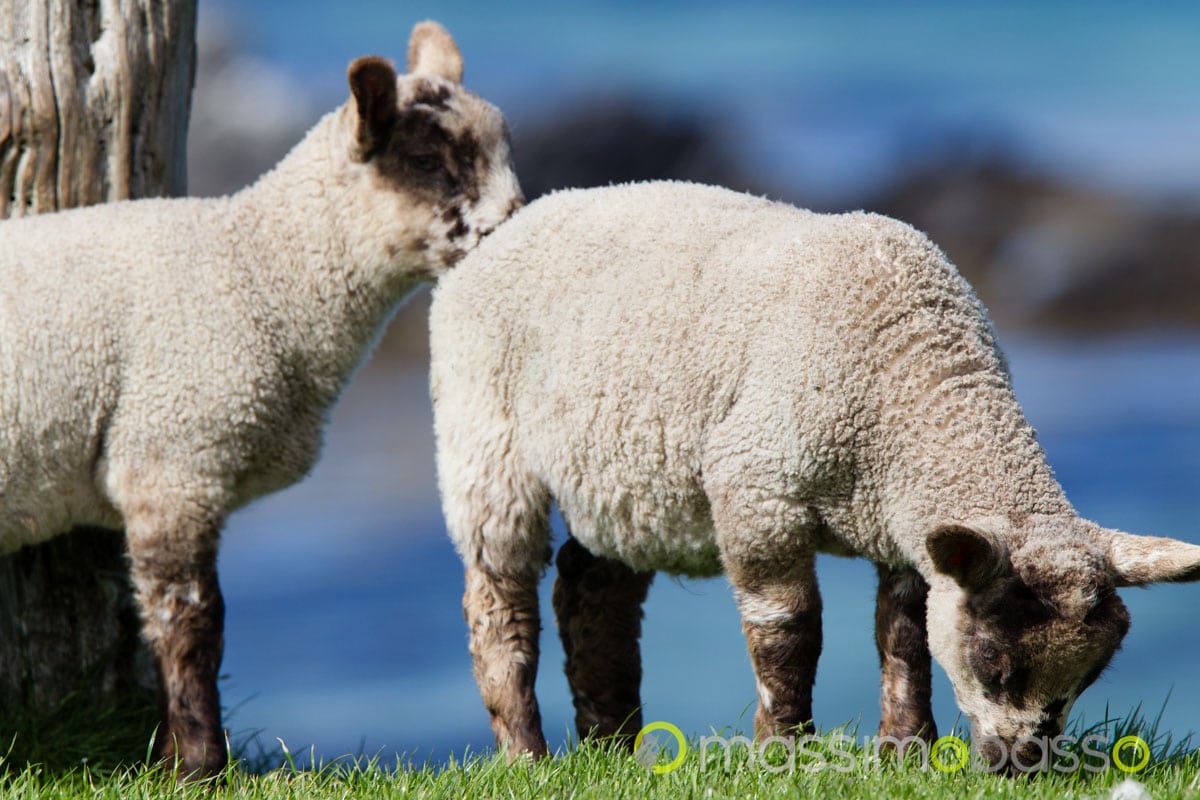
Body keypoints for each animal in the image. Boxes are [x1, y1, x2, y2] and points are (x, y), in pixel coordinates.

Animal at [0, 21, 521, 779]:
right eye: (428, 159)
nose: (516, 224)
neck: (263, 268)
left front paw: (173, 761)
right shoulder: (173, 458)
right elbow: (192, 626)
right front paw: (199, 767)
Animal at [429, 180, 1200, 768]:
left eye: (1092, 674)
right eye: (990, 659)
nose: (1022, 766)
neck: (917, 385)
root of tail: (505, 228)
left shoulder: (901, 517)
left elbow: (904, 632)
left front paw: (906, 750)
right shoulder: (757, 487)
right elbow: (788, 633)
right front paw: (783, 750)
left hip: (626, 479)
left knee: (591, 587)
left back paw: (611, 747)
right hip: (482, 434)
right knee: (498, 601)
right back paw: (526, 753)